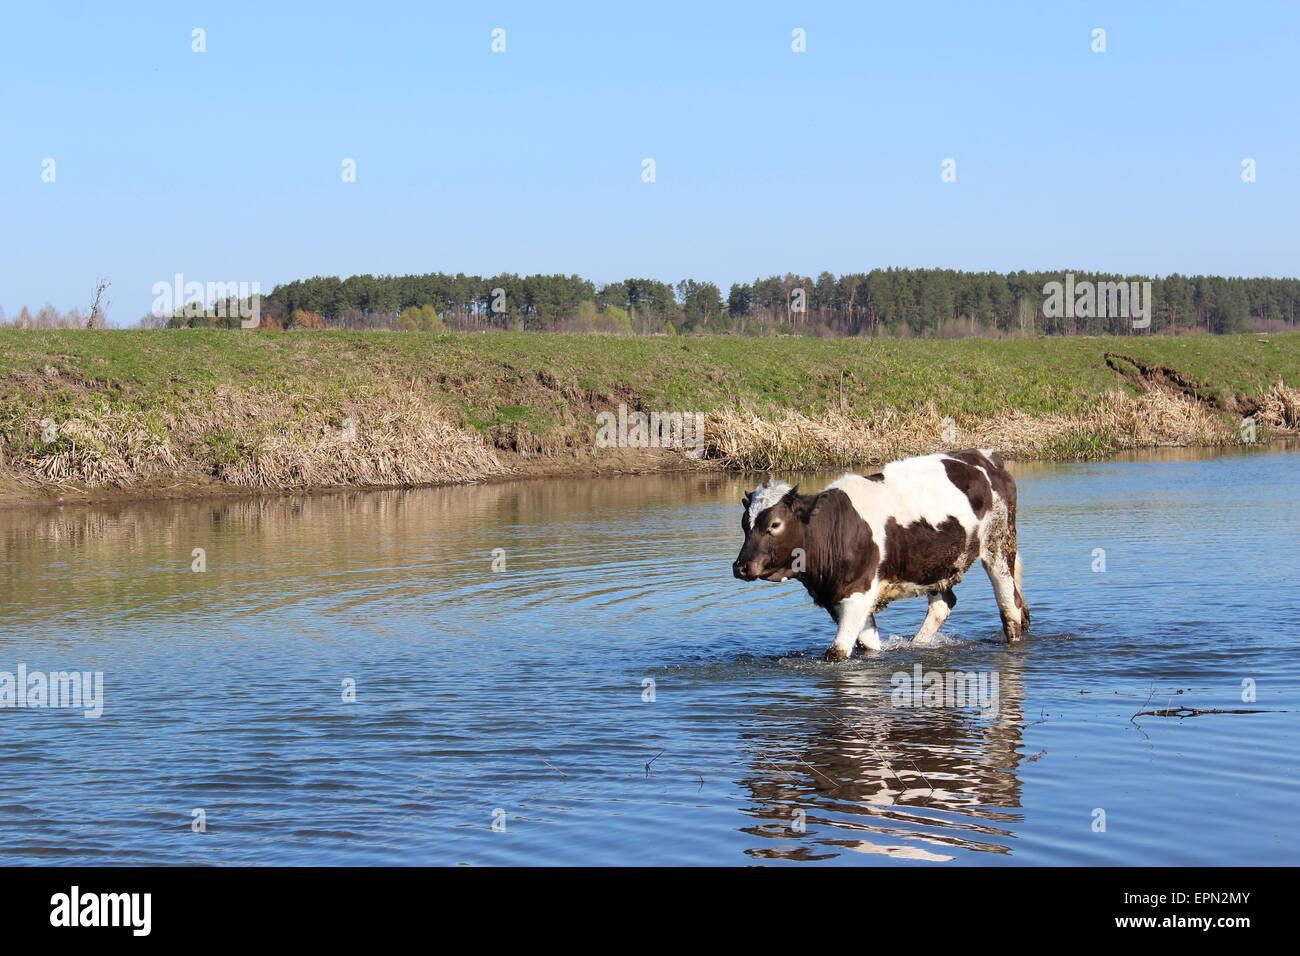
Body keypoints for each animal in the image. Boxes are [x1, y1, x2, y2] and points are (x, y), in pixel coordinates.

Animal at [732, 449, 1029, 660]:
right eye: (745, 524)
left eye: (775, 524)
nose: (741, 566)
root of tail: (986, 456)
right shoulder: (839, 598)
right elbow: (869, 646)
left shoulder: (857, 594)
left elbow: (836, 653)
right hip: (935, 564)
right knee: (944, 603)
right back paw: (917, 645)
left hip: (998, 545)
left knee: (1010, 608)